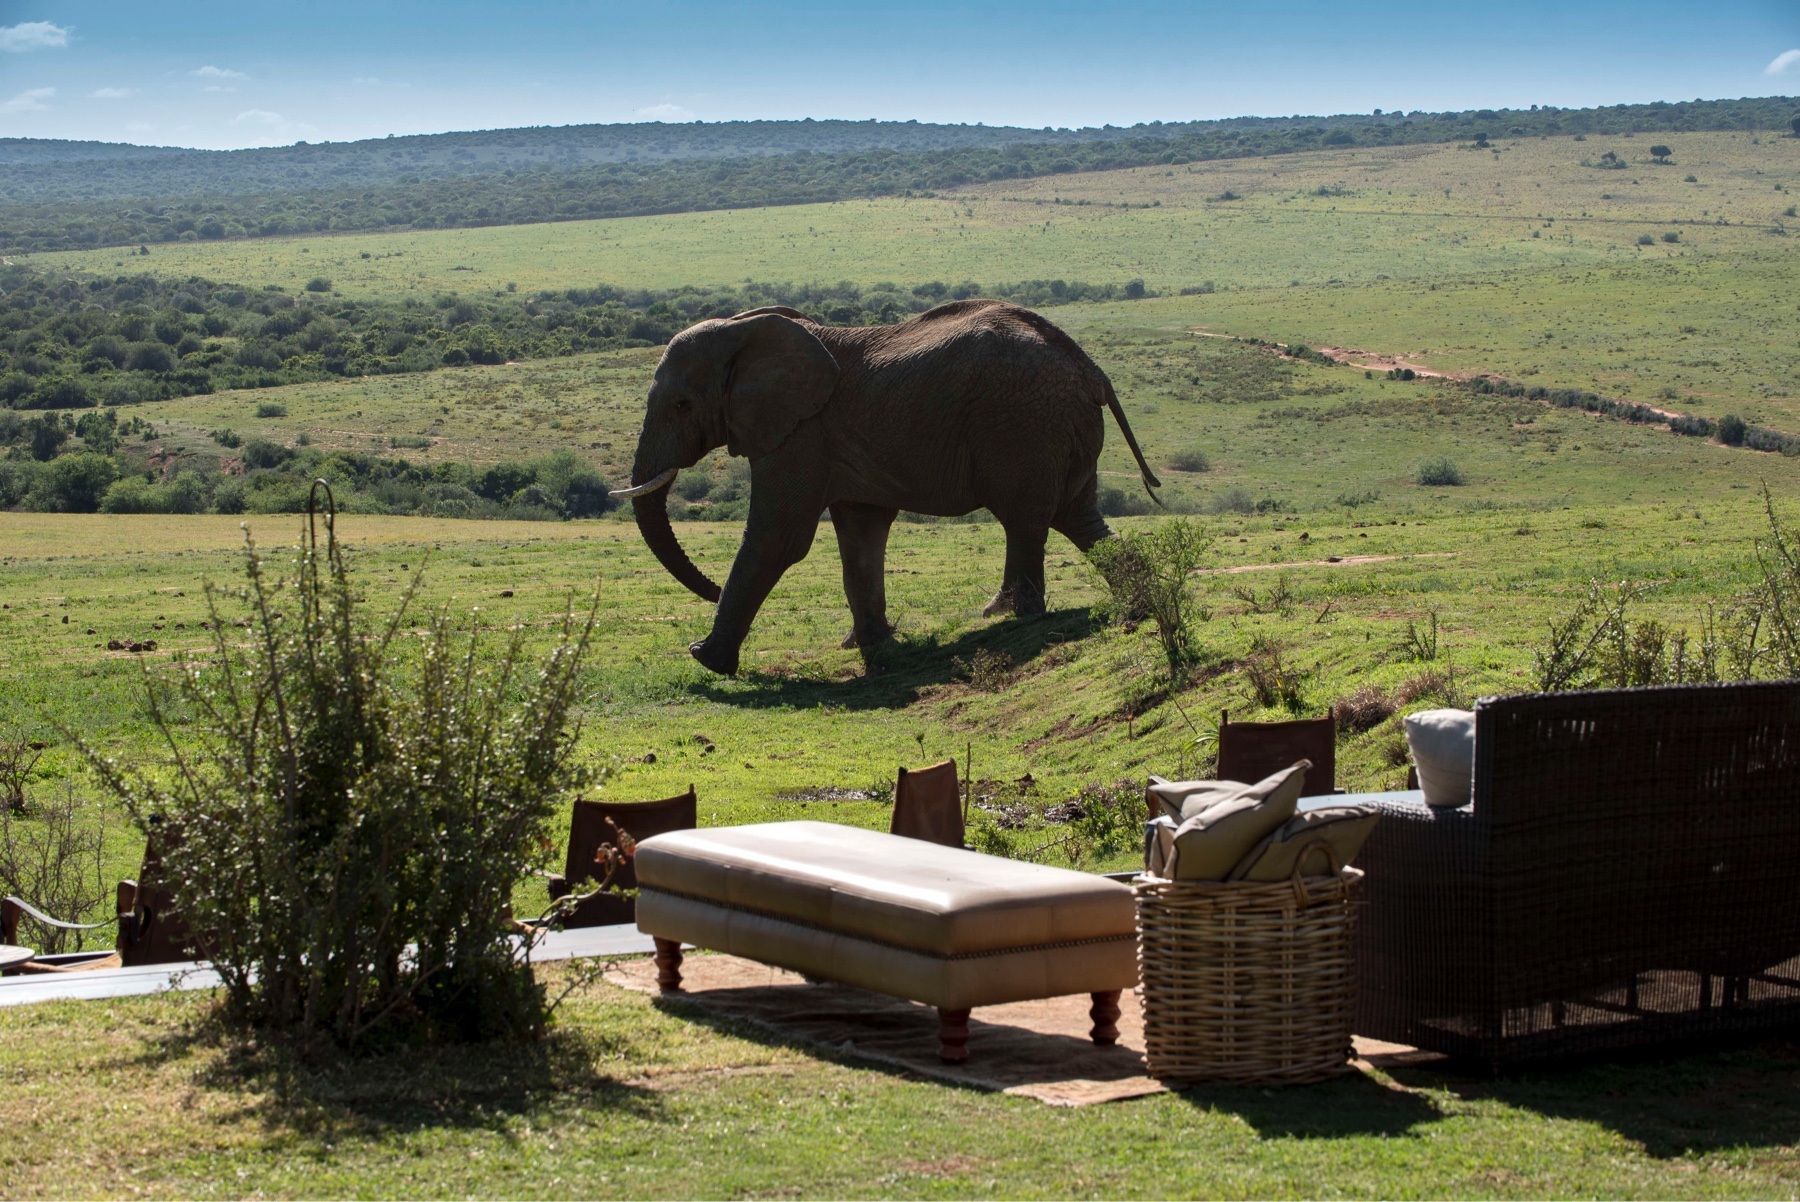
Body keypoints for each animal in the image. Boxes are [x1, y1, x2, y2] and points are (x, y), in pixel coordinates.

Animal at [612, 298, 1160, 676]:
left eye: (682, 404)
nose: (710, 589)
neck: (744, 331)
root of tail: (1090, 367)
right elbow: (861, 533)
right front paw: (870, 646)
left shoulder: (801, 431)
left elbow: (779, 539)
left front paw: (705, 659)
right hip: (1058, 425)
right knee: (1078, 517)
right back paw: (1138, 597)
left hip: (1025, 423)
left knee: (1026, 520)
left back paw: (1011, 617)